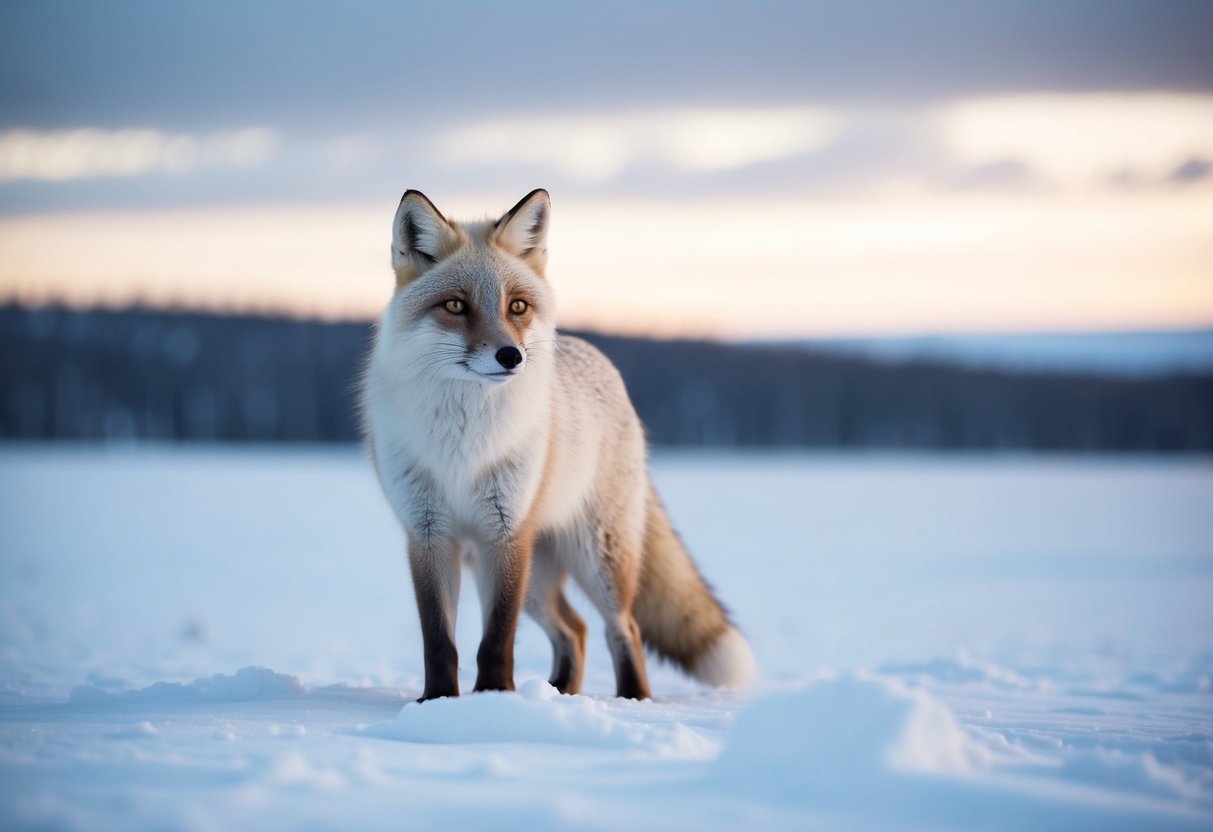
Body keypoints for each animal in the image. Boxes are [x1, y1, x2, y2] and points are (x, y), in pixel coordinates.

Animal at [361, 188, 757, 700]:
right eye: (455, 306)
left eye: (517, 306)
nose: (511, 356)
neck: (463, 445)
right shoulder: (428, 534)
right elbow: (439, 641)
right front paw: (439, 703)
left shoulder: (505, 533)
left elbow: (496, 640)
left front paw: (494, 697)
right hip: (528, 573)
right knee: (575, 629)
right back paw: (560, 692)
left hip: (589, 559)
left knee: (622, 628)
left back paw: (632, 699)